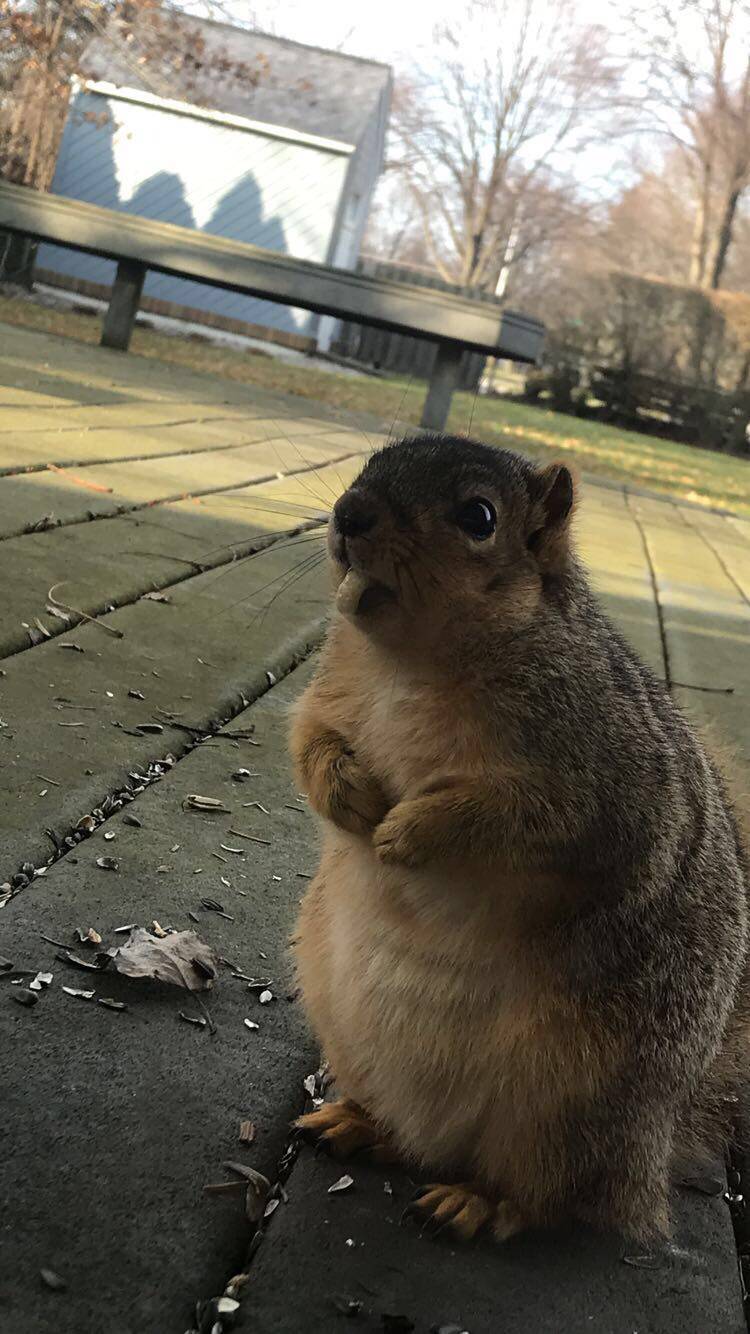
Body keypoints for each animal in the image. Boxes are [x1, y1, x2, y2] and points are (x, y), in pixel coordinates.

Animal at [290, 434, 750, 1245]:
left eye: (480, 516)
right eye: (370, 463)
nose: (350, 513)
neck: (409, 665)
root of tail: (652, 1152)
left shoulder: (608, 783)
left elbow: (527, 820)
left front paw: (410, 831)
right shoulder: (330, 693)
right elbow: (310, 742)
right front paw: (350, 794)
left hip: (571, 1102)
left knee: (550, 1196)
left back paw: (478, 1202)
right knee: (411, 1140)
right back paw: (362, 1124)